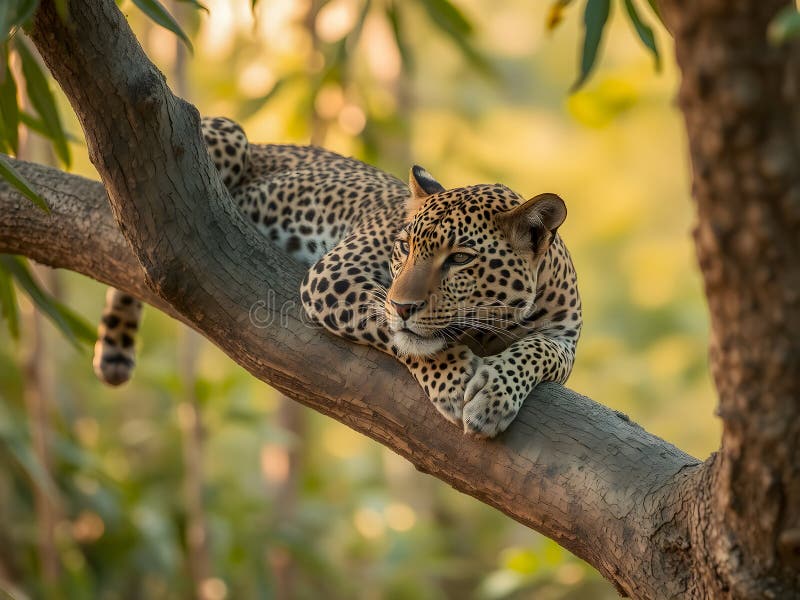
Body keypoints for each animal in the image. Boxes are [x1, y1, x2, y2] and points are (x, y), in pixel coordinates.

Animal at [94, 116, 582, 438]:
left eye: (460, 258)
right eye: (404, 247)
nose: (403, 305)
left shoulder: (564, 341)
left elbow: (538, 352)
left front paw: (494, 398)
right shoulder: (335, 275)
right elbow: (403, 337)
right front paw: (455, 379)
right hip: (226, 131)